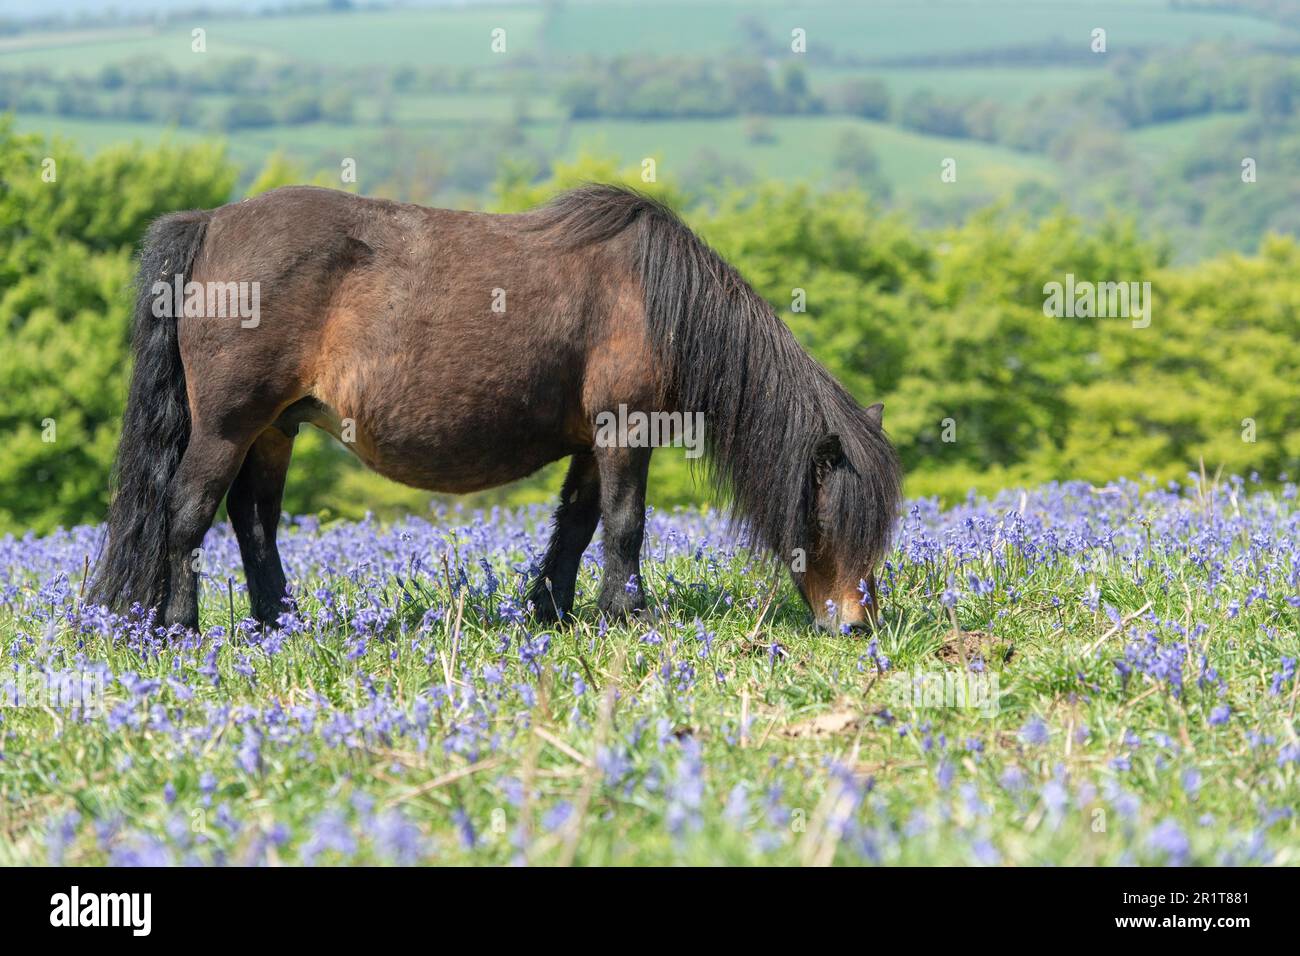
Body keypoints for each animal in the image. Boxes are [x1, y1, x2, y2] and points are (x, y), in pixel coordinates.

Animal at [89, 184, 901, 634]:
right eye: (831, 519)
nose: (858, 625)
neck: (656, 297)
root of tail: (212, 224)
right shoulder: (626, 428)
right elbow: (625, 525)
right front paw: (630, 615)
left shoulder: (592, 440)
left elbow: (576, 525)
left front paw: (556, 612)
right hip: (228, 427)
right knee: (187, 514)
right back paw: (181, 626)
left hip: (273, 430)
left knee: (252, 520)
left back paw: (277, 622)